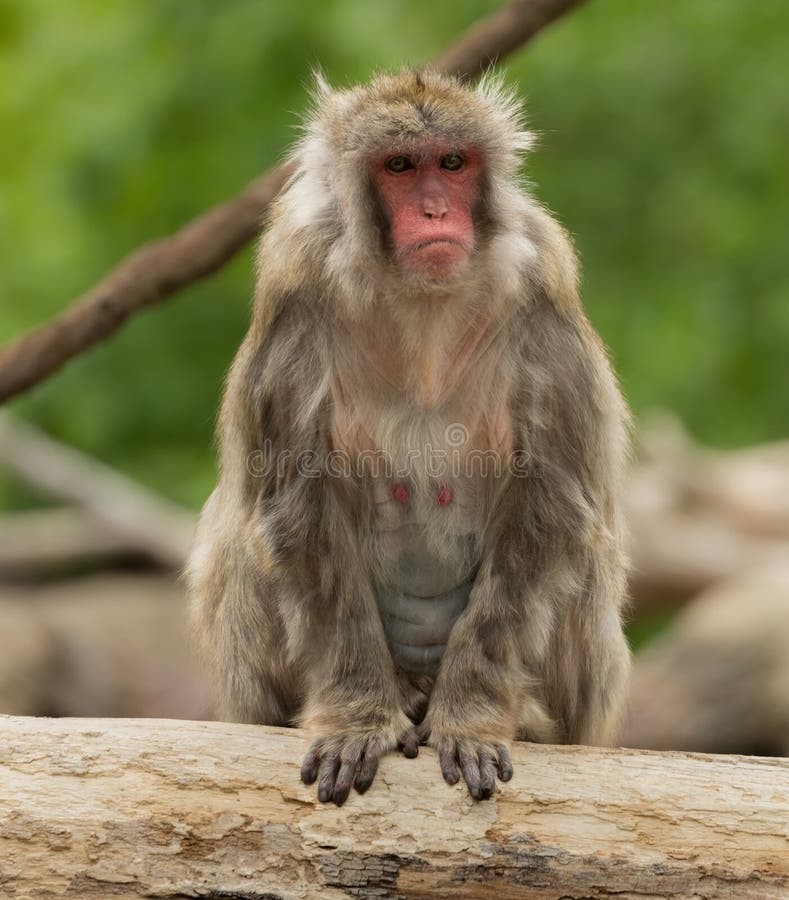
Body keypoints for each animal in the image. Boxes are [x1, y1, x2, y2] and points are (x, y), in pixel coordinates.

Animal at [187, 68, 631, 805]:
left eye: (451, 163)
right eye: (399, 166)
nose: (432, 213)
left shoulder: (543, 284)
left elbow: (551, 504)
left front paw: (471, 715)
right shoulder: (295, 284)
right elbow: (297, 508)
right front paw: (357, 715)